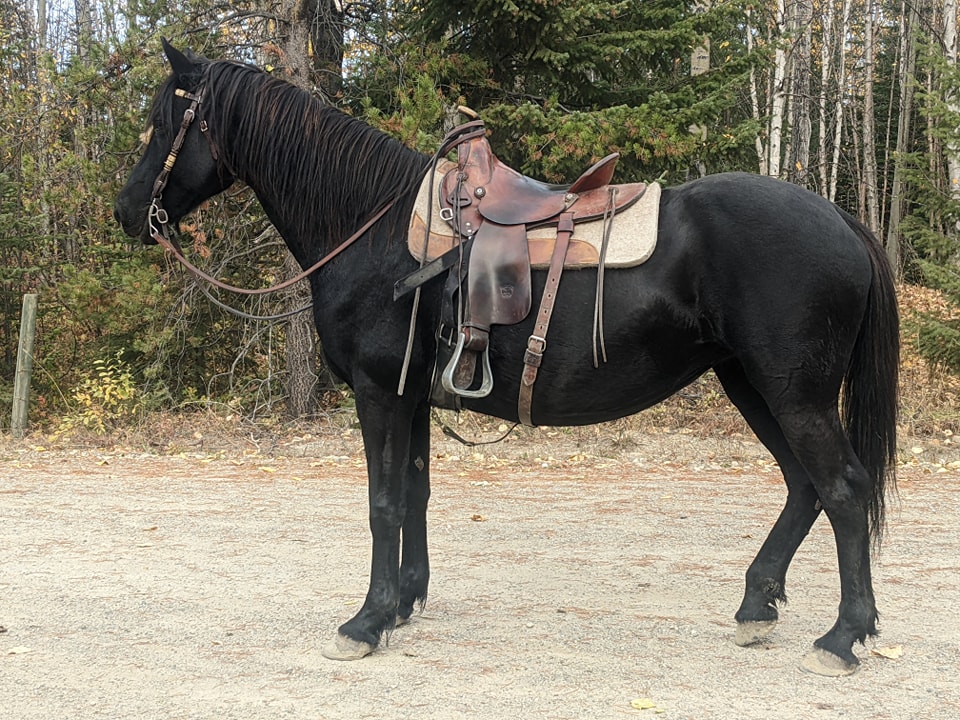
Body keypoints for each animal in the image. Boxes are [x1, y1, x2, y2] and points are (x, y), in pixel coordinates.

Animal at [114, 41, 899, 677]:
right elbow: (416, 495)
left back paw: (843, 637)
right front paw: (402, 604)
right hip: (751, 386)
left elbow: (381, 502)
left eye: (161, 122)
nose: (127, 212)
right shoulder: (413, 398)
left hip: (793, 394)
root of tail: (840, 218)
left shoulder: (378, 392)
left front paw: (365, 622)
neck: (372, 230)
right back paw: (757, 606)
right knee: (804, 487)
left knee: (843, 490)